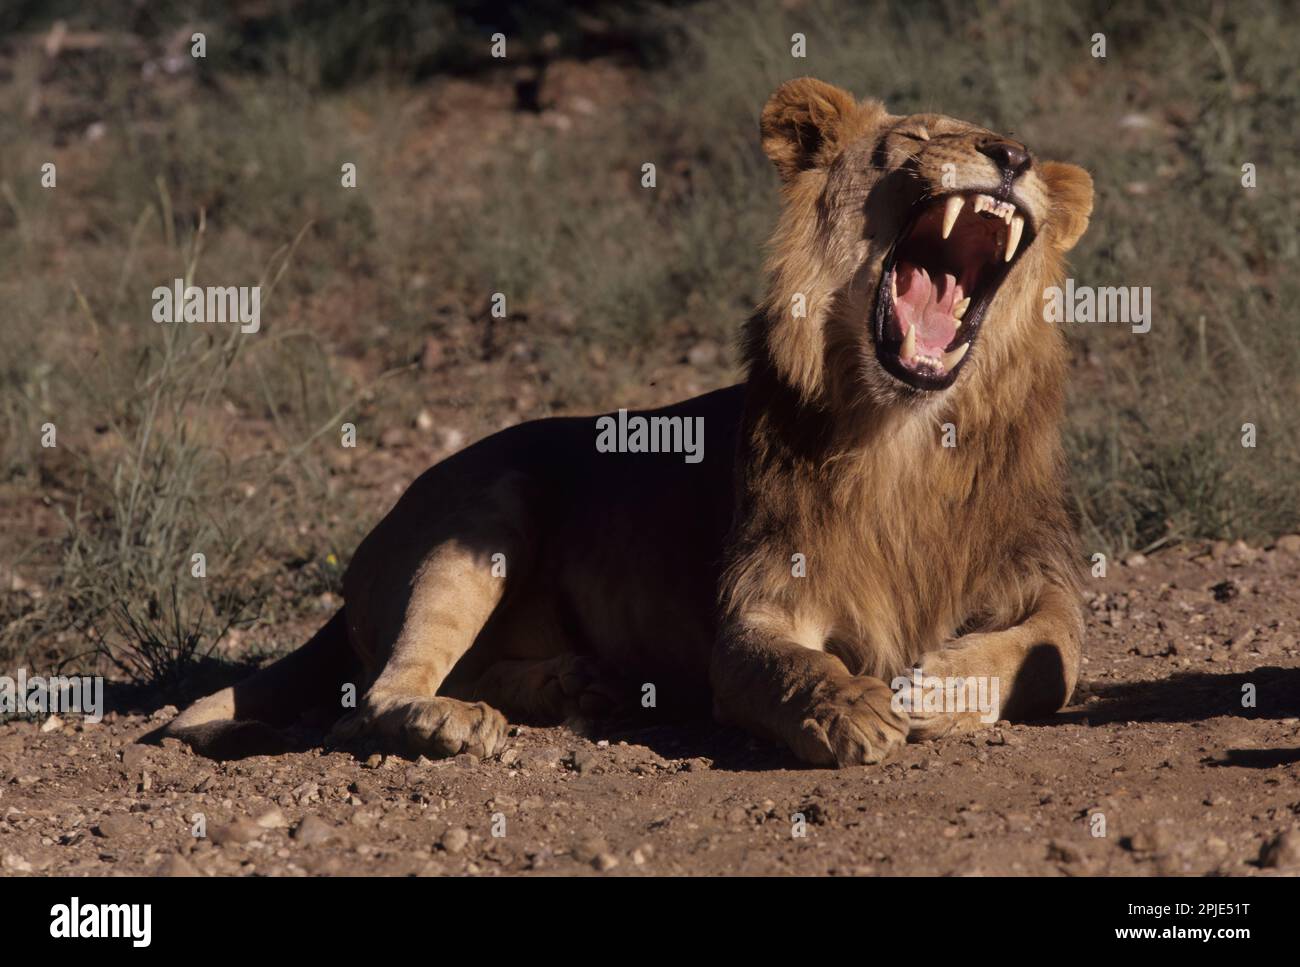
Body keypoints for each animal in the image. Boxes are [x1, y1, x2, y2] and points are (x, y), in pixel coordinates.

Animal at [163, 78, 1093, 768]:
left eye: (1015, 146)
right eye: (917, 137)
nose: (1013, 157)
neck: (908, 436)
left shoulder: (1041, 576)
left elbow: (1057, 653)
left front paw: (936, 683)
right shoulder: (753, 615)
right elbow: (794, 665)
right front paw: (855, 708)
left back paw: (580, 687)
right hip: (487, 509)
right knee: (370, 702)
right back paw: (454, 721)